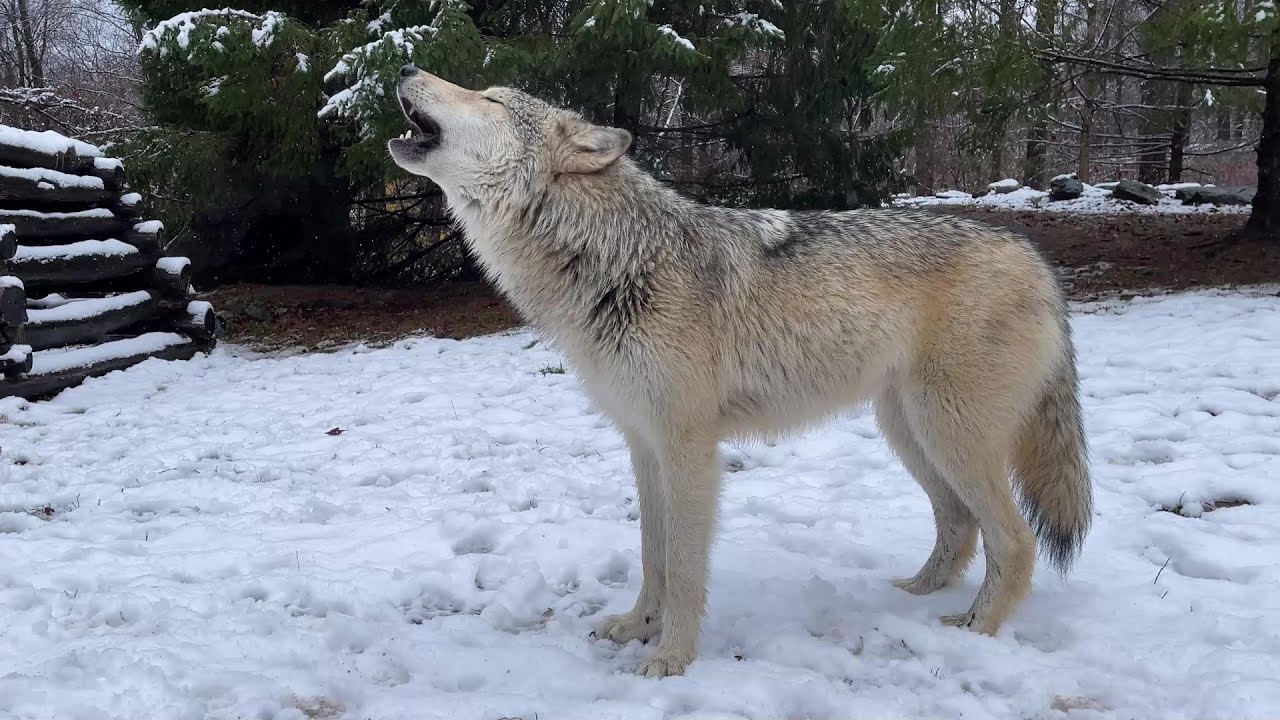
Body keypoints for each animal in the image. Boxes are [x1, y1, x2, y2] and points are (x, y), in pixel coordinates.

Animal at [388, 65, 1092, 678]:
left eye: (490, 99)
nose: (405, 66)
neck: (613, 260)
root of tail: (1036, 259)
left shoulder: (689, 447)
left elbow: (684, 567)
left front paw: (671, 659)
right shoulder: (643, 444)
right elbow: (652, 554)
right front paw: (638, 626)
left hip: (949, 435)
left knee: (1015, 539)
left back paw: (977, 628)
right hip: (909, 432)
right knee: (961, 523)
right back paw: (918, 592)